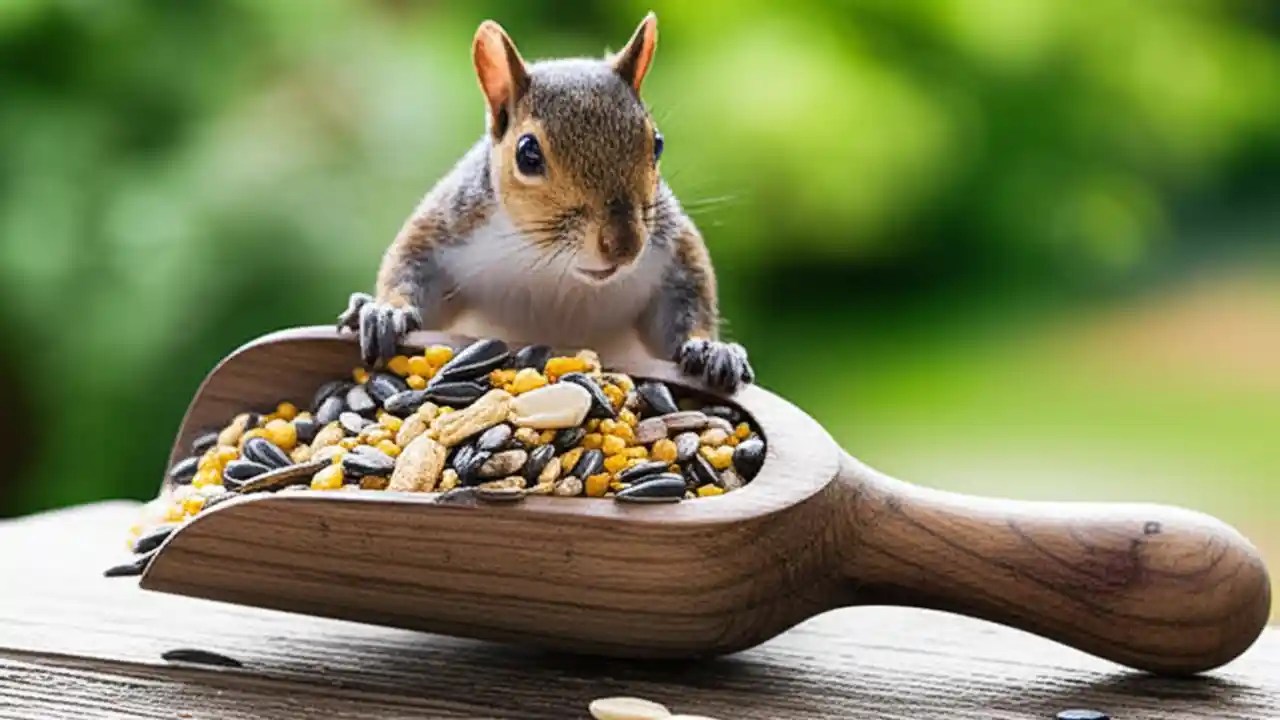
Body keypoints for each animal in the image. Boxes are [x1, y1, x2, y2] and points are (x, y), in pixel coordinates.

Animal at [337, 13, 753, 394]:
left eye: (658, 144)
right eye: (528, 154)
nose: (623, 245)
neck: (553, 269)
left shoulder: (670, 251)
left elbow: (687, 302)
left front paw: (710, 349)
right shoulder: (451, 222)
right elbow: (409, 266)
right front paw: (387, 312)